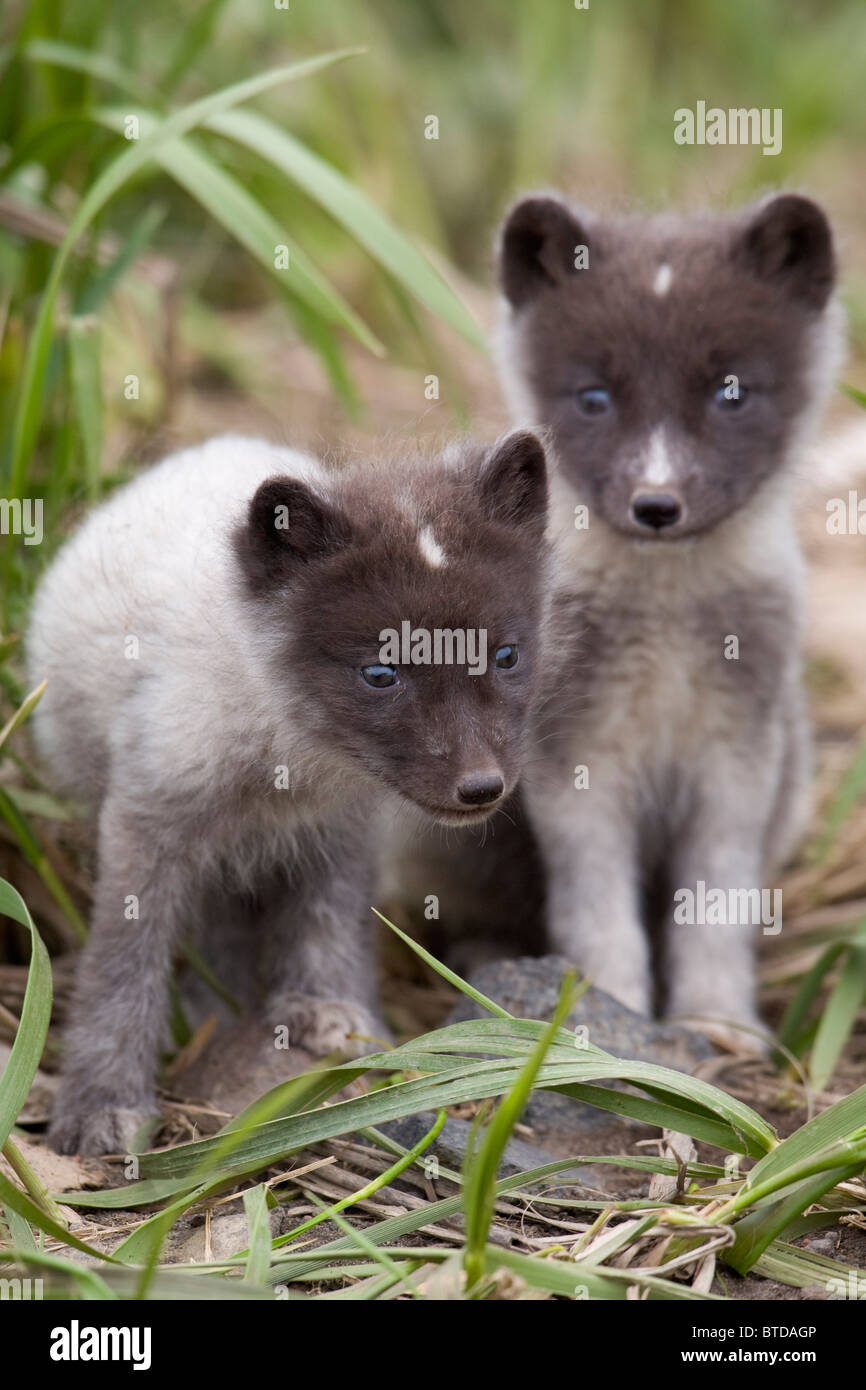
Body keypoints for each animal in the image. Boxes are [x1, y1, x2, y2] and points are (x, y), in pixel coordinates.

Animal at [27, 429, 549, 1153]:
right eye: (381, 674)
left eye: (505, 657)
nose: (482, 788)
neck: (283, 743)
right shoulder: (146, 815)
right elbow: (123, 962)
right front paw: (101, 1106)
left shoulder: (345, 824)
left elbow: (331, 917)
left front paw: (339, 1019)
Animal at [487, 191, 844, 1046]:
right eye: (593, 398)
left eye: (731, 392)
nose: (657, 504)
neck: (665, 615)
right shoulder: (573, 755)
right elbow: (595, 903)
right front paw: (604, 1007)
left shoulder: (740, 755)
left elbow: (717, 900)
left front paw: (717, 1022)